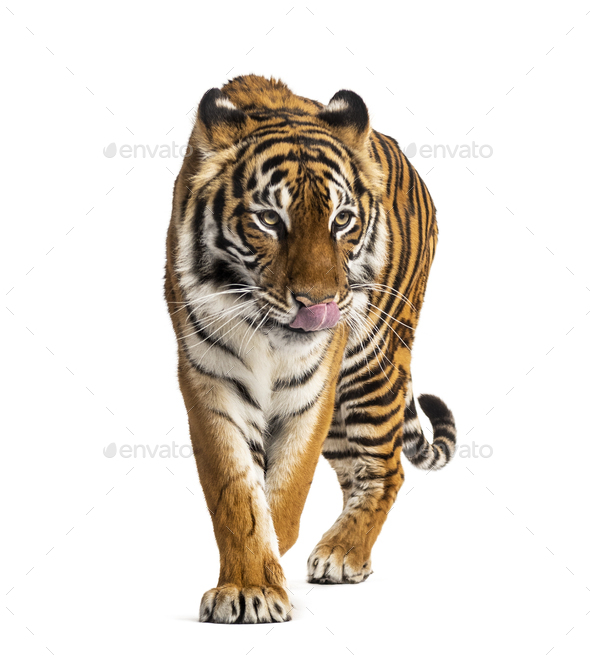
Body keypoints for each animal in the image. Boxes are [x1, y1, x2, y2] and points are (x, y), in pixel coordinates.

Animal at [164, 74, 456, 624]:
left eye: (341, 219)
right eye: (268, 219)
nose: (318, 301)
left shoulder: (313, 384)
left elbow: (288, 487)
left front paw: (268, 568)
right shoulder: (211, 379)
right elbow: (238, 492)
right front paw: (248, 585)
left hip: (371, 366)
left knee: (385, 468)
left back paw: (343, 554)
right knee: (354, 470)